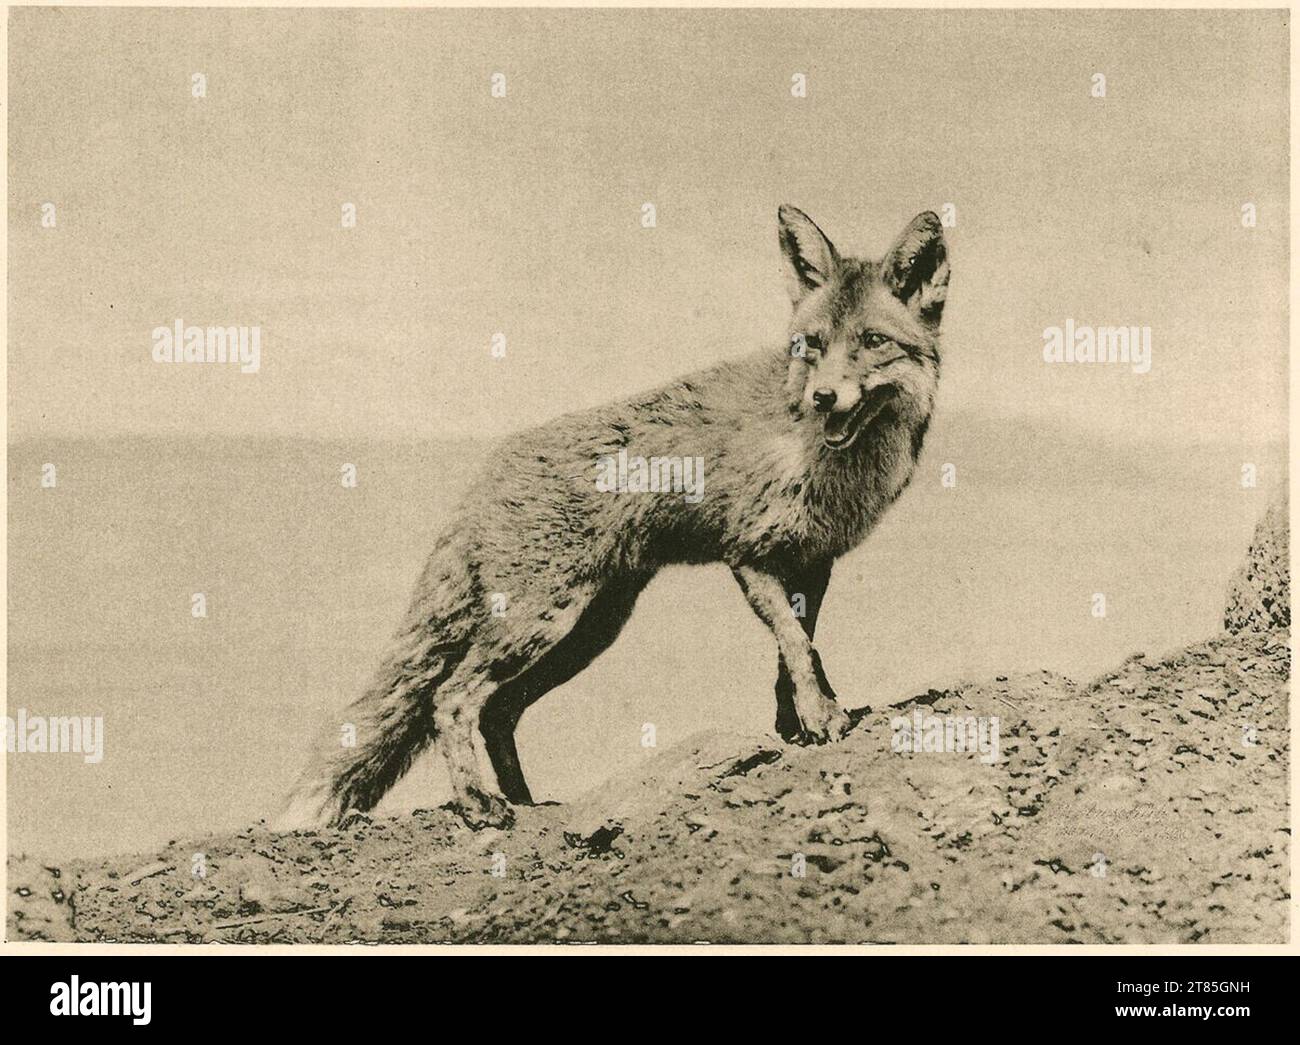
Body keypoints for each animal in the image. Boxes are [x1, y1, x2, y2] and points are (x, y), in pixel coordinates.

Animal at [278, 205, 949, 831]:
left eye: (873, 342)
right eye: (812, 344)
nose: (823, 398)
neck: (827, 456)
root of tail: (487, 471)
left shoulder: (814, 562)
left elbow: (797, 653)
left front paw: (797, 725)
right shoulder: (749, 555)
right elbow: (795, 645)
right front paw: (820, 719)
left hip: (589, 628)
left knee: (497, 711)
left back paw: (527, 803)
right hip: (543, 620)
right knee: (452, 697)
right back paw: (477, 806)